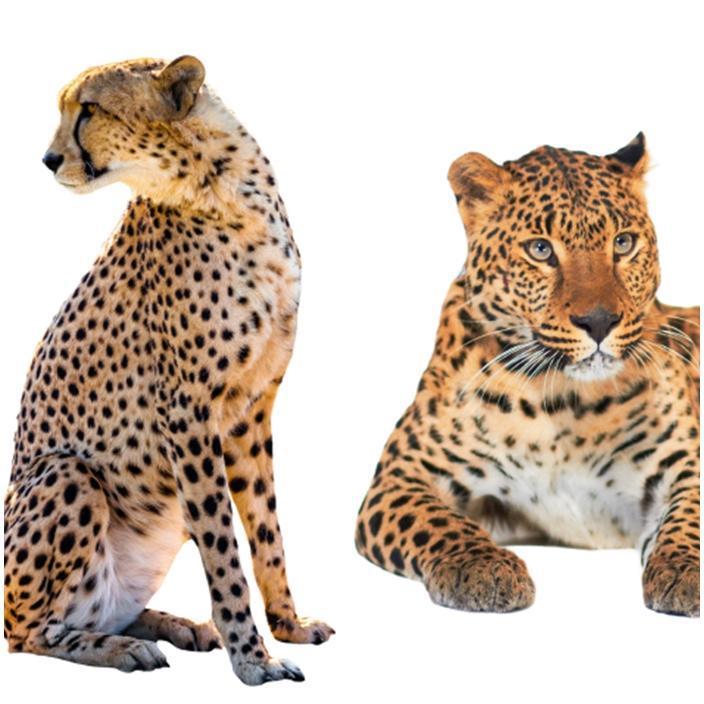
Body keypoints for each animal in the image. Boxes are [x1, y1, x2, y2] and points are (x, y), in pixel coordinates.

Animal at [3, 55, 334, 685]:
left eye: (88, 109)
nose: (49, 159)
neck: (224, 189)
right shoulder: (188, 414)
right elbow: (224, 548)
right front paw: (253, 658)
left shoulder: (250, 413)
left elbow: (266, 530)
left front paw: (289, 626)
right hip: (67, 473)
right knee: (32, 633)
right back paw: (122, 649)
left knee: (106, 608)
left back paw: (176, 626)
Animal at [355, 134, 700, 617]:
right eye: (540, 249)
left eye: (623, 243)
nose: (599, 321)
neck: (562, 401)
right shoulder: (401, 474)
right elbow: (438, 522)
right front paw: (482, 566)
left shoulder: (685, 464)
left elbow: (691, 519)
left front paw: (686, 569)